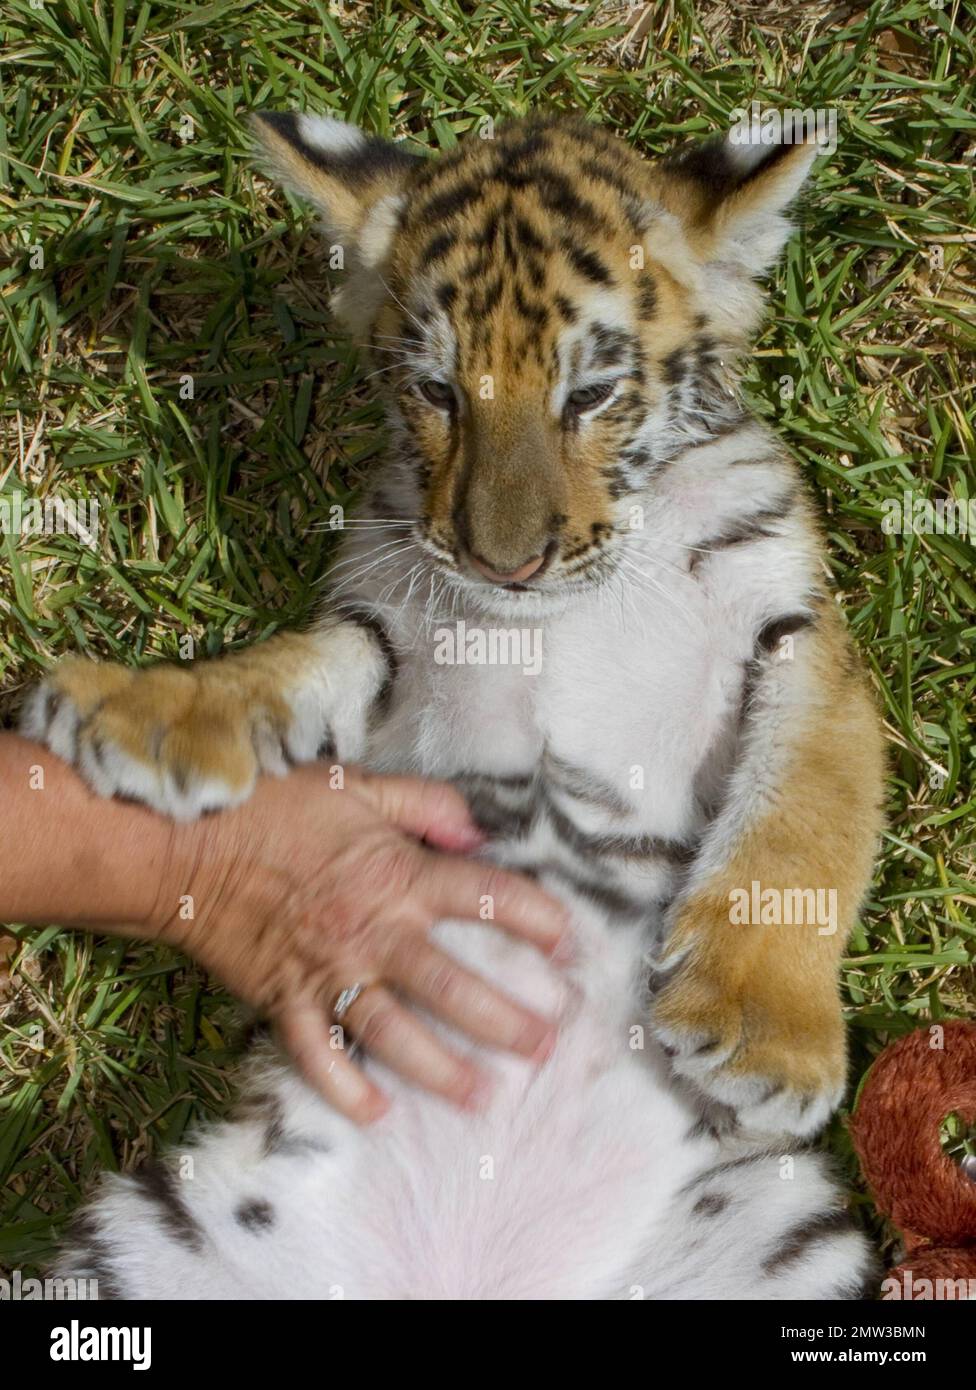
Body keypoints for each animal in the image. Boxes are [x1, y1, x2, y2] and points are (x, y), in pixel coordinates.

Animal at [21, 108, 884, 1299]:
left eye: (590, 395)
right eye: (437, 393)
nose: (504, 565)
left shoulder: (795, 632)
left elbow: (809, 813)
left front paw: (762, 1036)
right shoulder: (382, 618)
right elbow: (280, 666)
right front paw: (142, 715)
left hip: (770, 1239)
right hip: (144, 1245)